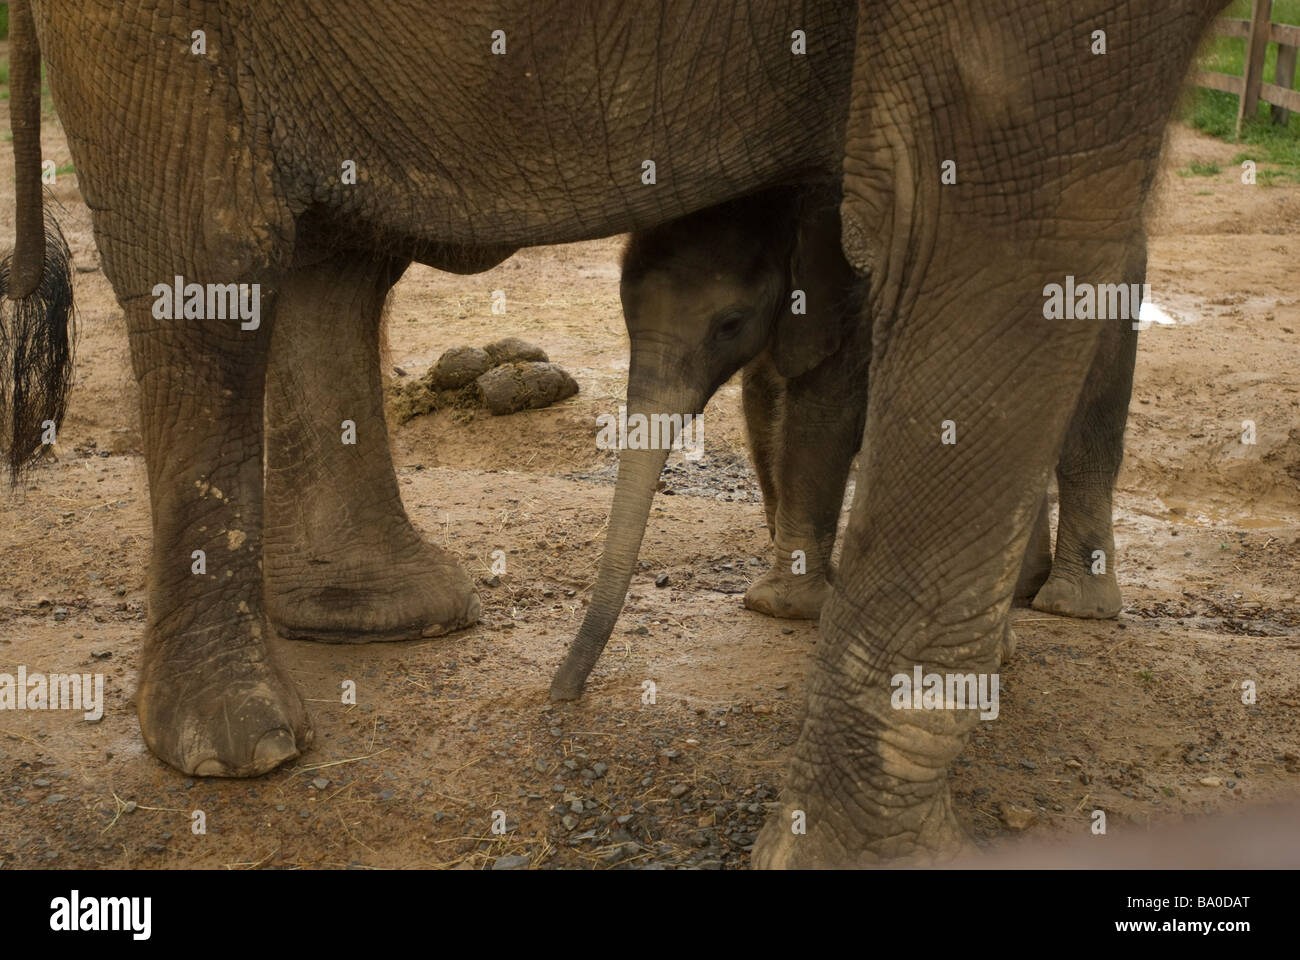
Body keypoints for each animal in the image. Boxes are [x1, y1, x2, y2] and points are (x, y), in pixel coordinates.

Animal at [0, 0, 1227, 866]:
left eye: (726, 322)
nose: (558, 701)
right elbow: (997, 195)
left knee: (334, 254)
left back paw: (385, 618)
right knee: (216, 256)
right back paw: (241, 748)